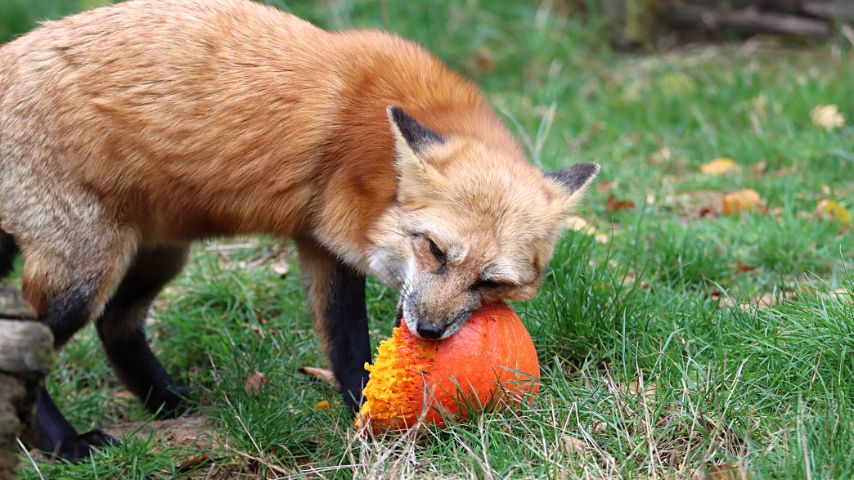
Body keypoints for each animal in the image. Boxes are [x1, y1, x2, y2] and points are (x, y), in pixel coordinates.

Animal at [0, 0, 598, 461]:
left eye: (491, 283)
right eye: (433, 250)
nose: (429, 331)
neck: (372, 158)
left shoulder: (323, 245)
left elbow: (348, 349)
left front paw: (368, 416)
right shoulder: (334, 241)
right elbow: (351, 339)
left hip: (157, 255)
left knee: (117, 327)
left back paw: (168, 401)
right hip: (86, 270)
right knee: (37, 337)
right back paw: (62, 444)